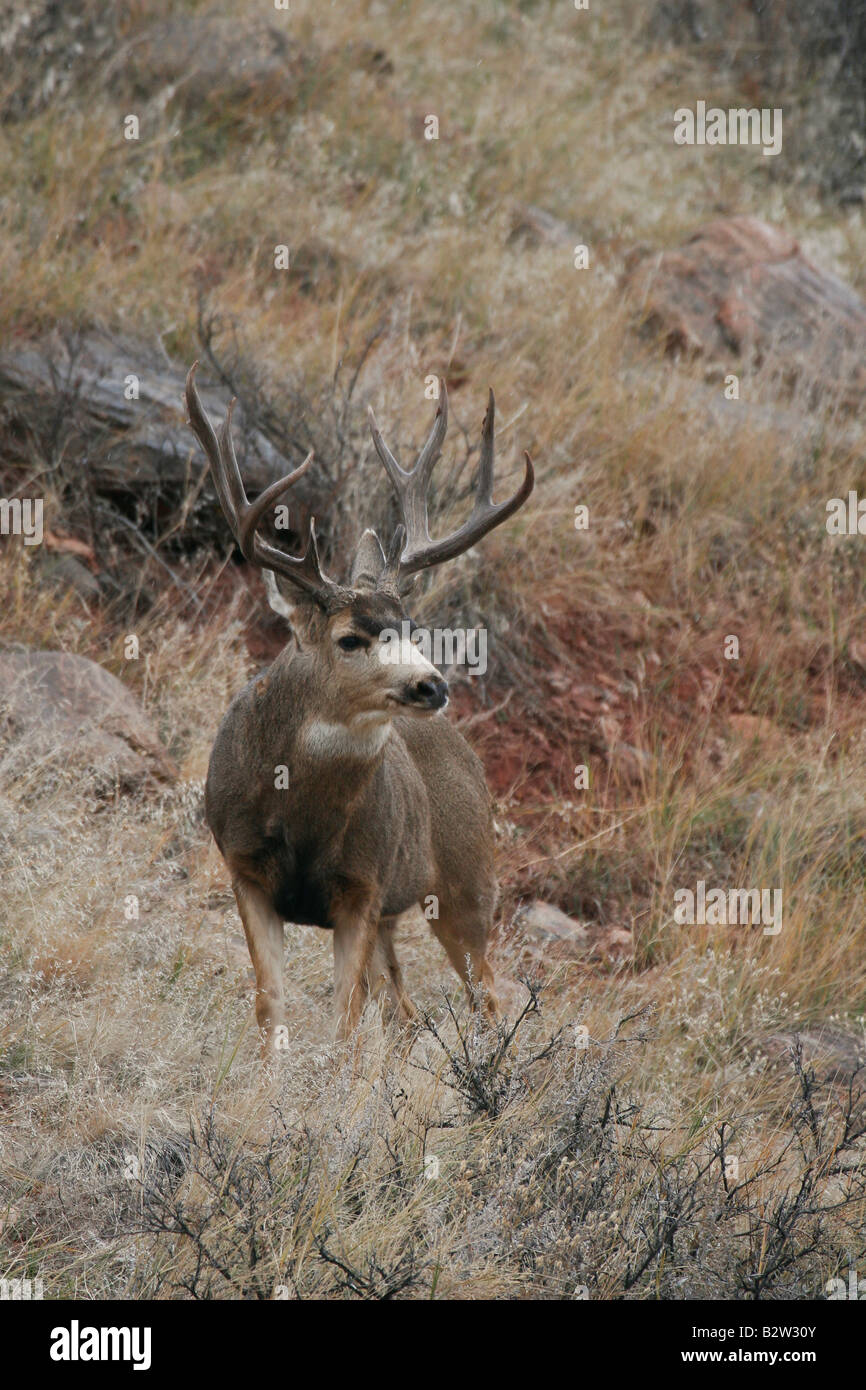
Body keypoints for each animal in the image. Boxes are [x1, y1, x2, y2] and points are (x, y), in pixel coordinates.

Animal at [185, 363, 534, 1056]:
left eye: (412, 626)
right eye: (350, 638)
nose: (432, 686)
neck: (301, 814)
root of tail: (469, 756)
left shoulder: (363, 885)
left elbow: (344, 1021)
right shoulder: (244, 869)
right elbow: (271, 1007)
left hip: (468, 879)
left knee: (487, 996)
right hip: (402, 912)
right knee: (404, 1009)